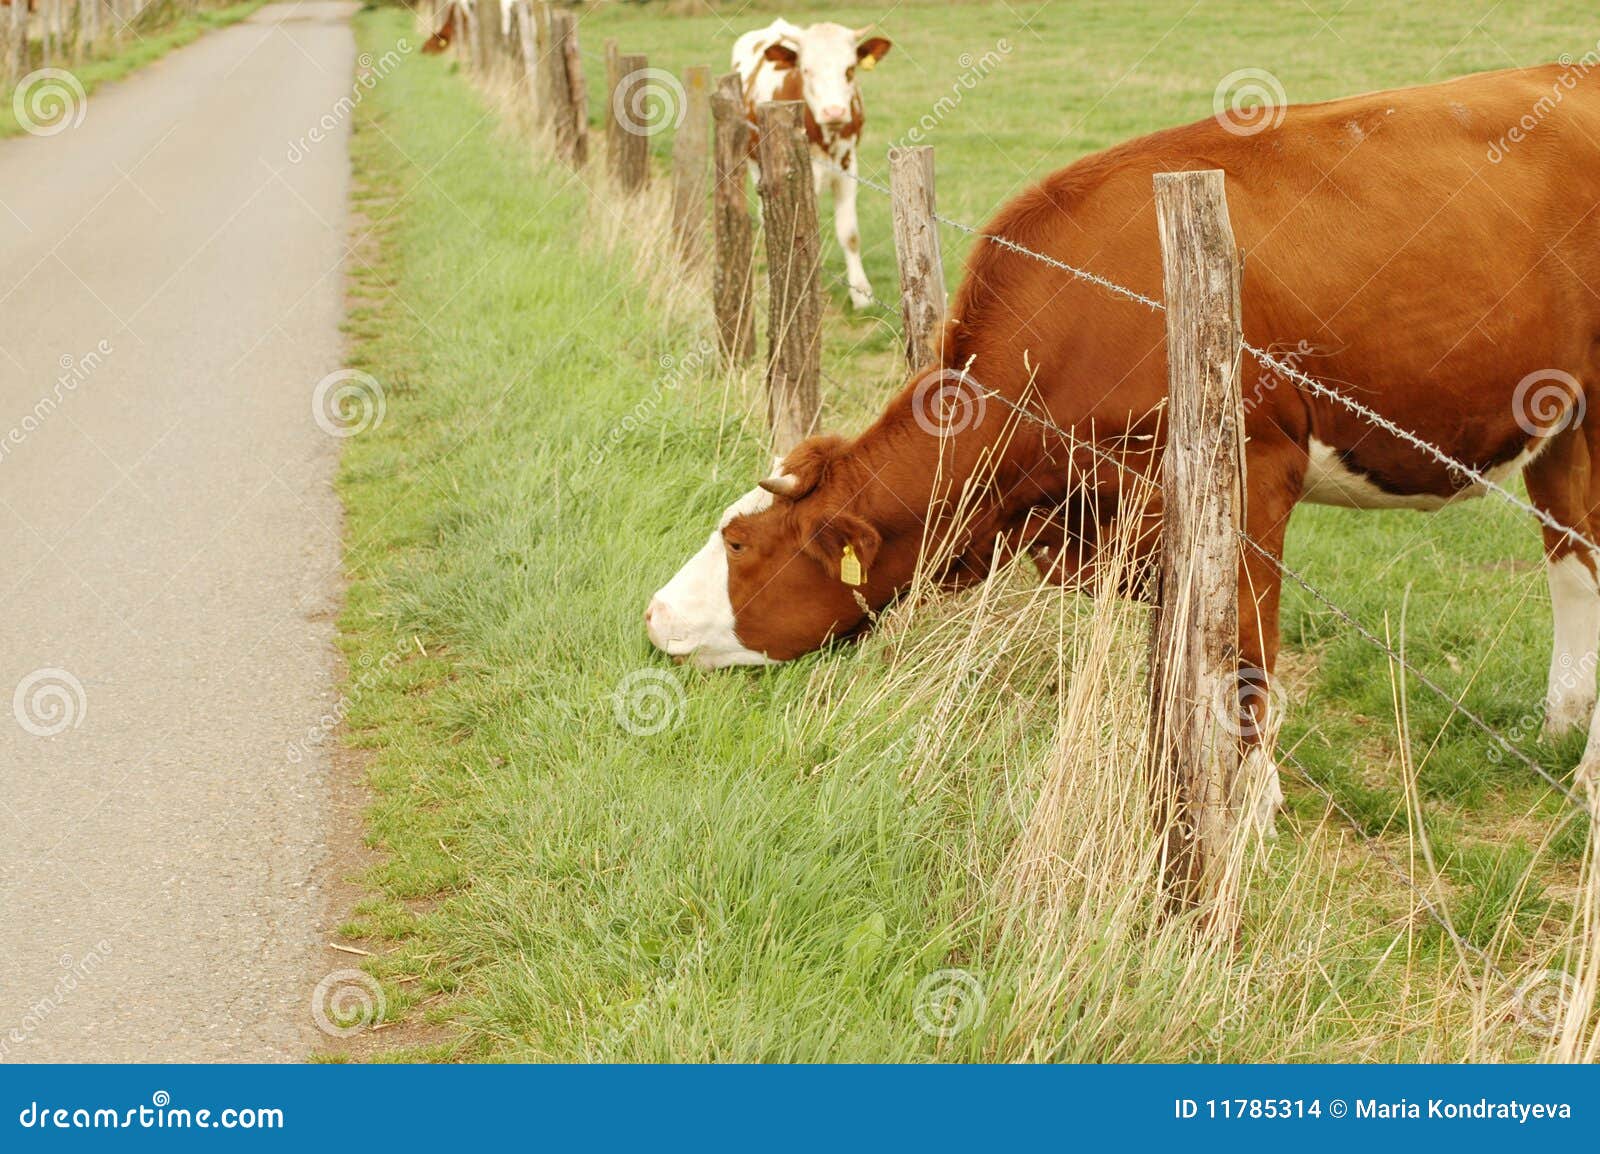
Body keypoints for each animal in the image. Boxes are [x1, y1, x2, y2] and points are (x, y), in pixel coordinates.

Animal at [646, 63, 1600, 826]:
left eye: (740, 543)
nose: (653, 616)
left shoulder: (1252, 478)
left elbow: (1245, 659)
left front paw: (1246, 819)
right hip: (1560, 421)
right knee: (1574, 557)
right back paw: (1563, 725)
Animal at [732, 20, 893, 310]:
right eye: (806, 70)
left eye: (850, 69)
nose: (834, 111)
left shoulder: (848, 168)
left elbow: (849, 233)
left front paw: (862, 293)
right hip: (755, 162)